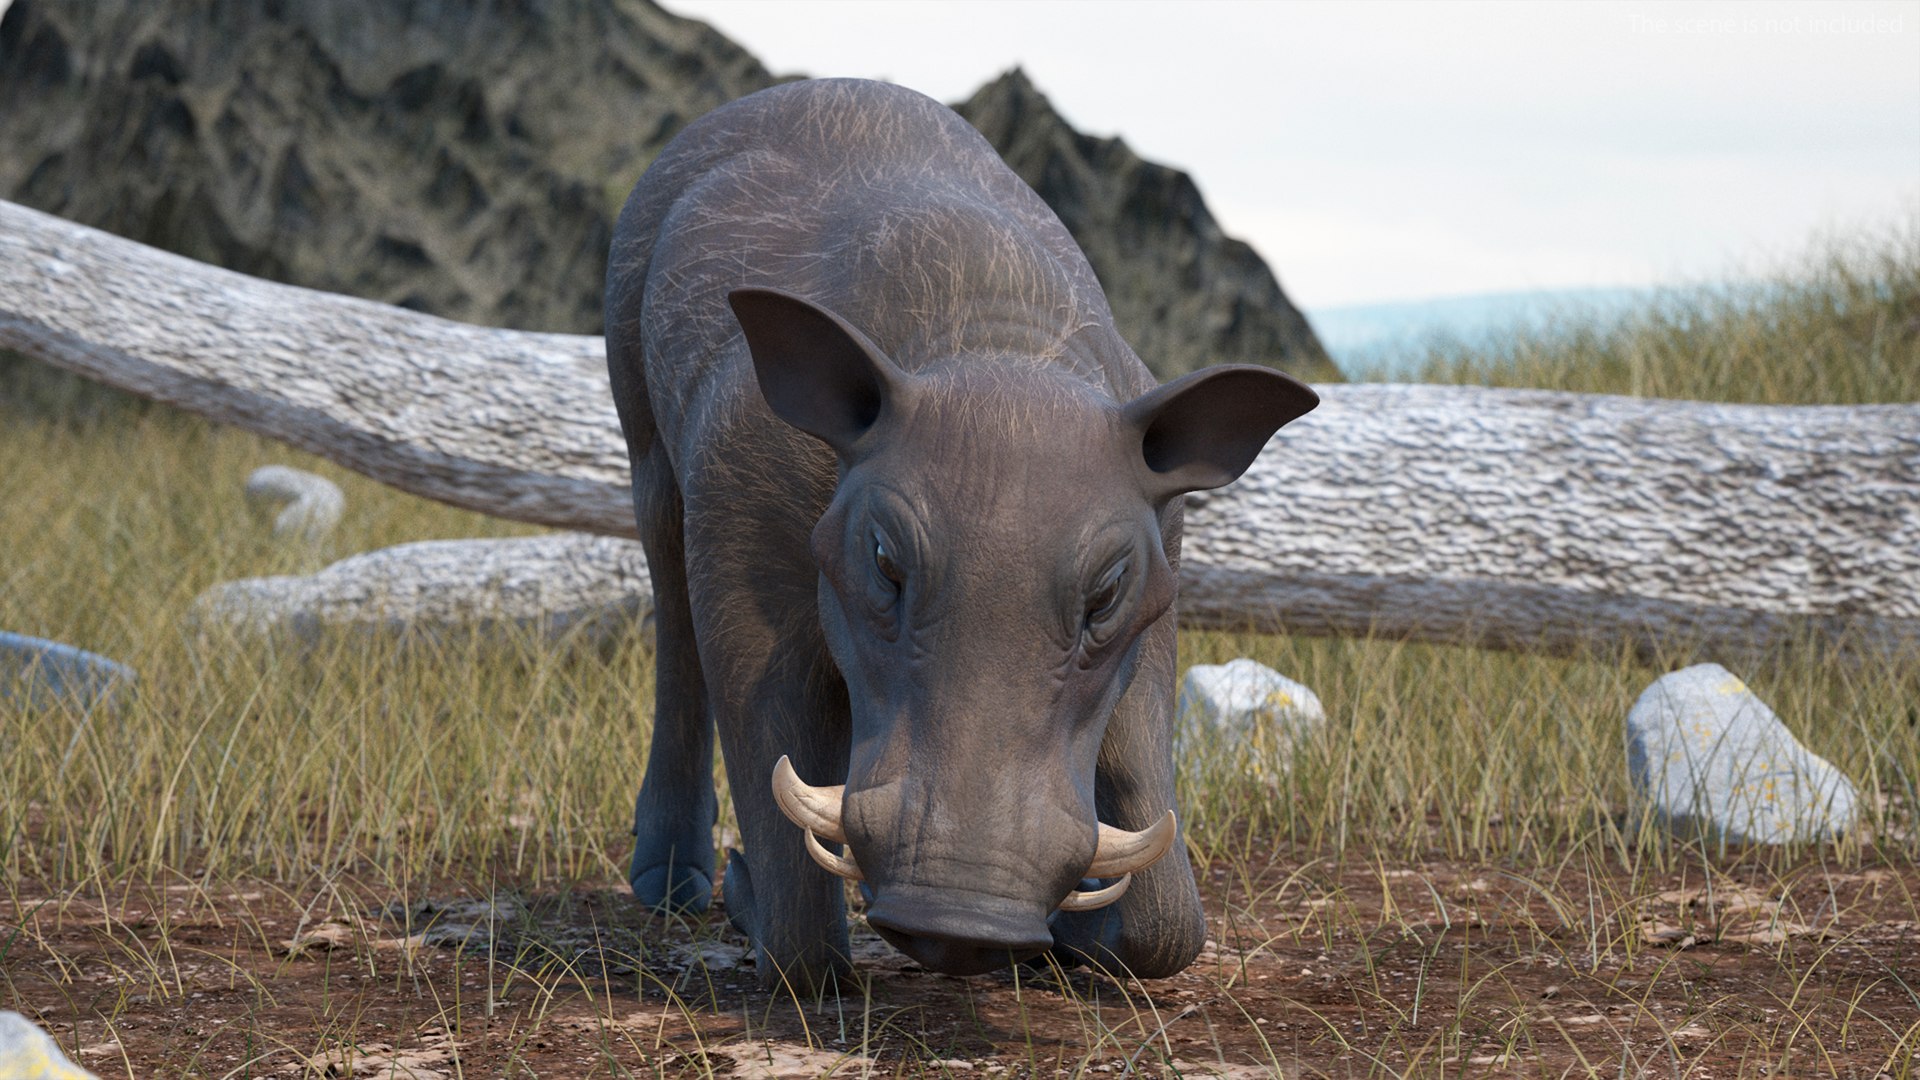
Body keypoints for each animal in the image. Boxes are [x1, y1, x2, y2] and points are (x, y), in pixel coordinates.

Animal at [603, 78, 1317, 984]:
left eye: (1107, 592)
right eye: (883, 560)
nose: (964, 923)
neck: (991, 349)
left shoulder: (1160, 592)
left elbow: (1167, 916)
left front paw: (1075, 941)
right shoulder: (739, 546)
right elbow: (801, 932)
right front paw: (744, 893)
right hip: (648, 452)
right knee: (673, 615)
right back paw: (672, 885)